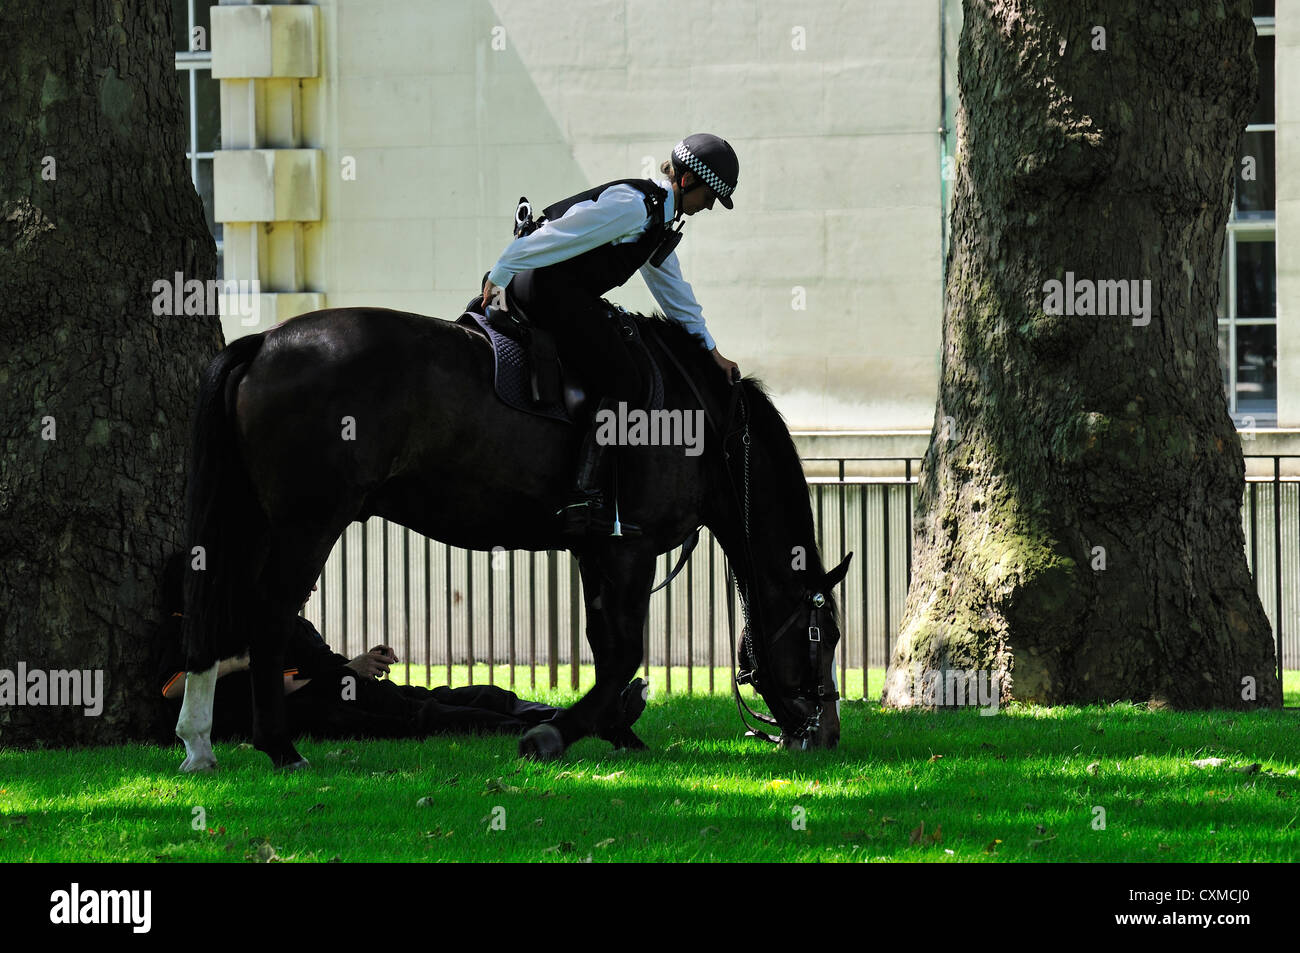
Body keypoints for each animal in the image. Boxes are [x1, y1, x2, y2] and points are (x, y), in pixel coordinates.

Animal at [174, 305, 852, 771]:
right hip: (307, 526)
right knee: (268, 617)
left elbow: (606, 647)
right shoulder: (628, 551)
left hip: (256, 524)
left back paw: (201, 741)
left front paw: (615, 729)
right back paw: (279, 746)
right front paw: (557, 732)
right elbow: (625, 653)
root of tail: (266, 343)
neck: (704, 428)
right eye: (825, 634)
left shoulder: (596, 552)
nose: (826, 734)